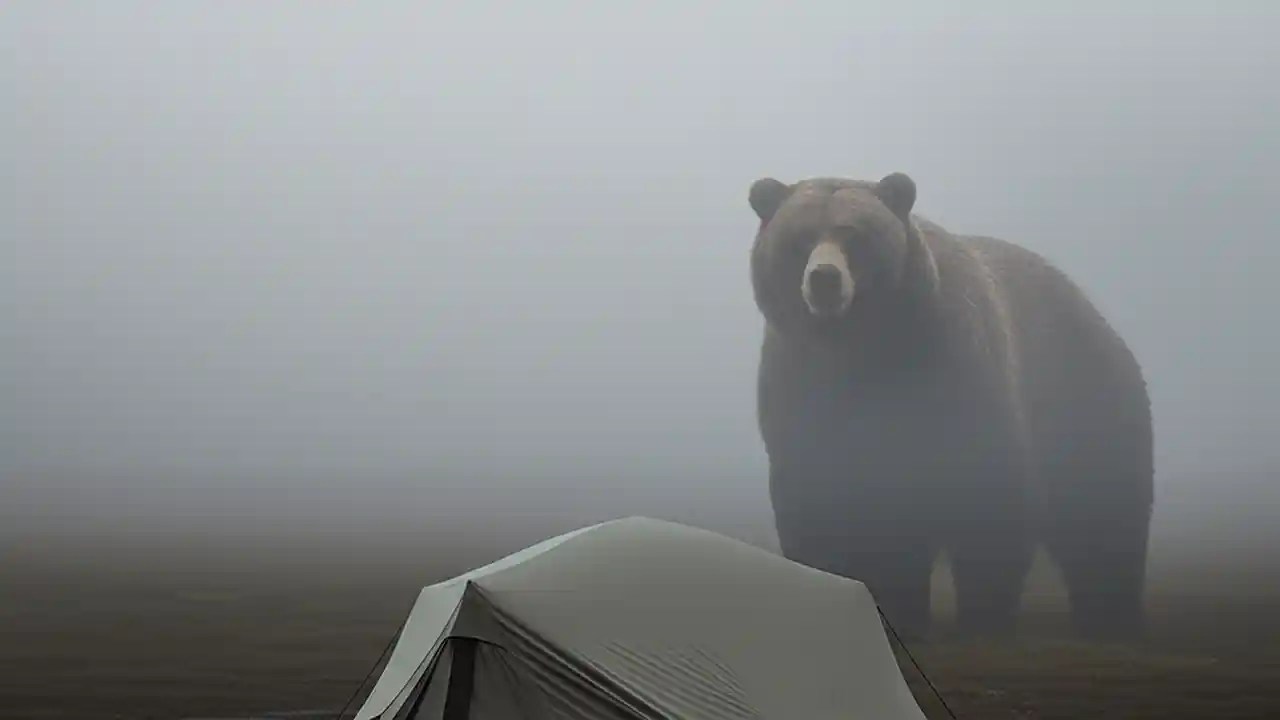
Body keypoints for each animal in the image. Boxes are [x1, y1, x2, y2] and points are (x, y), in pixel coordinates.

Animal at [748, 172, 1153, 642]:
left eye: (855, 235)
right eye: (800, 238)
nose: (825, 279)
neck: (858, 351)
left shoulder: (956, 375)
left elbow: (992, 507)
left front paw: (983, 618)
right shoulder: (801, 396)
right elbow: (811, 509)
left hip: (1089, 403)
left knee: (1106, 534)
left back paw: (1112, 622)